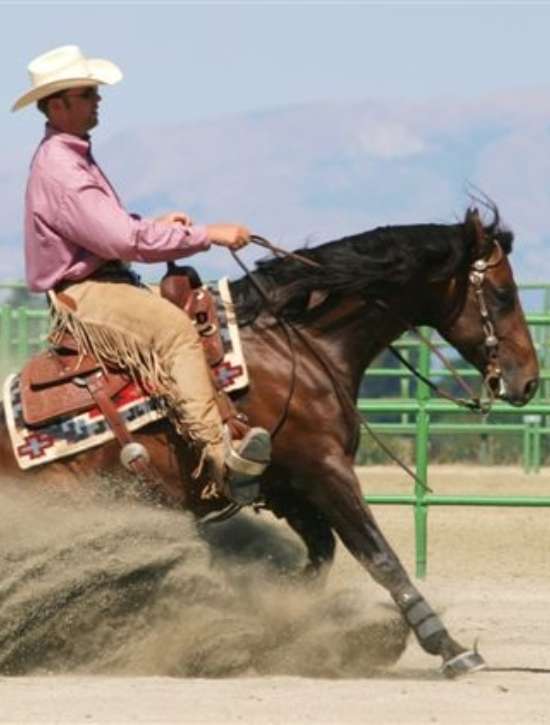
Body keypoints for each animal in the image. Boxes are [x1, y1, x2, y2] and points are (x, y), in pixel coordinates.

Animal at [0, 206, 538, 677]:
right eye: (503, 293)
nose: (529, 382)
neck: (298, 343)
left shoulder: (286, 488)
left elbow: (319, 559)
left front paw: (284, 628)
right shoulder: (325, 470)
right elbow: (380, 558)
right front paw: (448, 647)